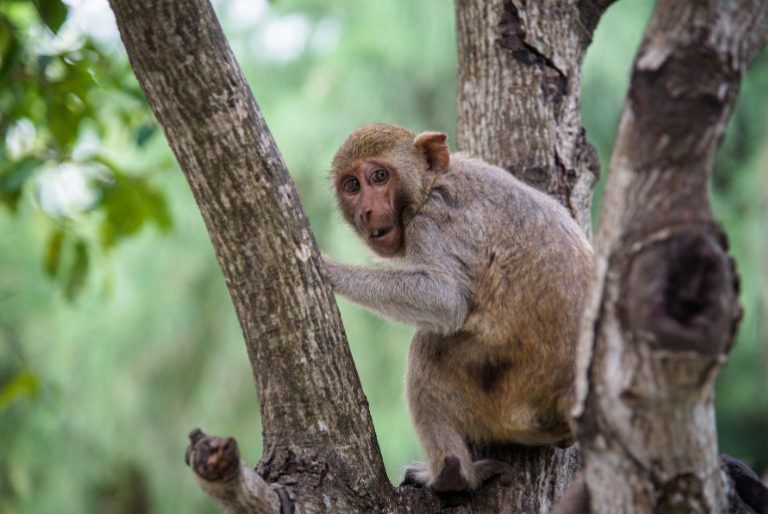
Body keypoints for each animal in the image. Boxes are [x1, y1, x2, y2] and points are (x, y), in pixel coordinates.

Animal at [322, 123, 593, 492]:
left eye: (379, 176)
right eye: (352, 185)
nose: (366, 210)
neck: (429, 185)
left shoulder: (434, 220)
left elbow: (445, 298)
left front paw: (332, 271)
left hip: (500, 384)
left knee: (428, 349)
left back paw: (452, 476)